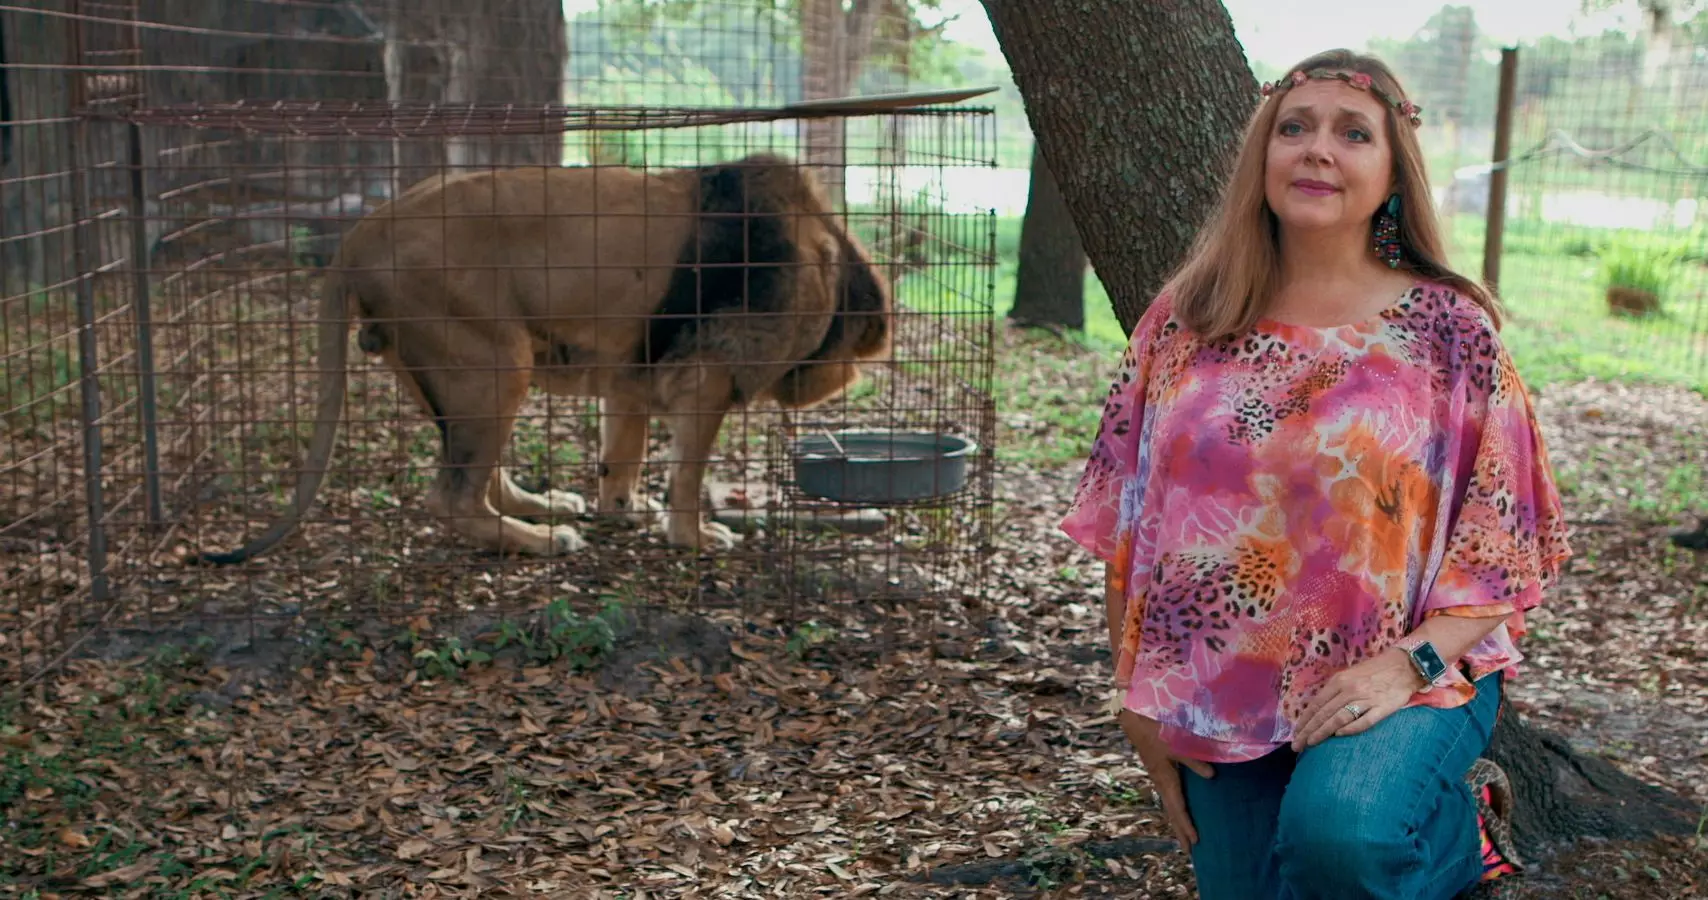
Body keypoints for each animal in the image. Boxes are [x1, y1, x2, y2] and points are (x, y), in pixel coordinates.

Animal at [195, 152, 894, 563]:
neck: (828, 259)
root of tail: (363, 230)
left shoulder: (632, 374)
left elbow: (623, 454)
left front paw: (626, 509)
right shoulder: (707, 379)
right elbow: (687, 474)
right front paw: (693, 535)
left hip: (448, 370)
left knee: (478, 476)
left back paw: (543, 506)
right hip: (497, 361)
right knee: (452, 497)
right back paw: (541, 540)